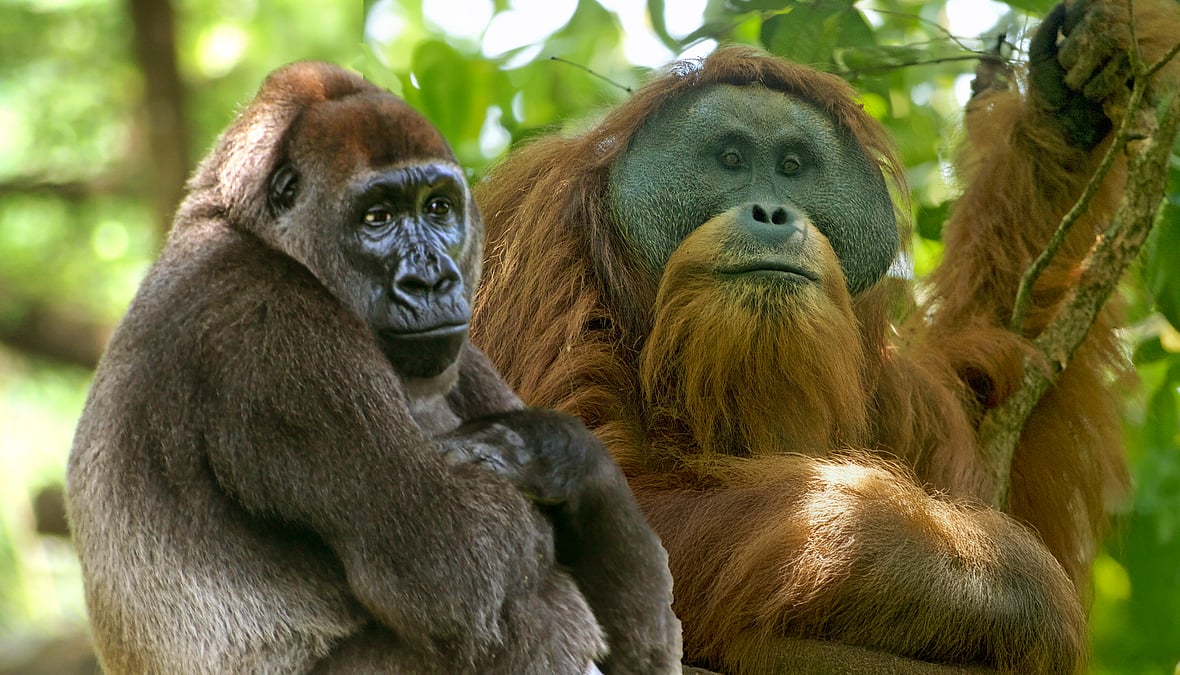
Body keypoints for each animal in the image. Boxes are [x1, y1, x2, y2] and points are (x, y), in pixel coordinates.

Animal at [66, 61, 680, 675]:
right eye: (377, 218)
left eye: (438, 208)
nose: (431, 281)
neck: (248, 229)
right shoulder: (272, 325)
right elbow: (456, 566)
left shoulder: (462, 352)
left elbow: (646, 638)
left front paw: (549, 452)